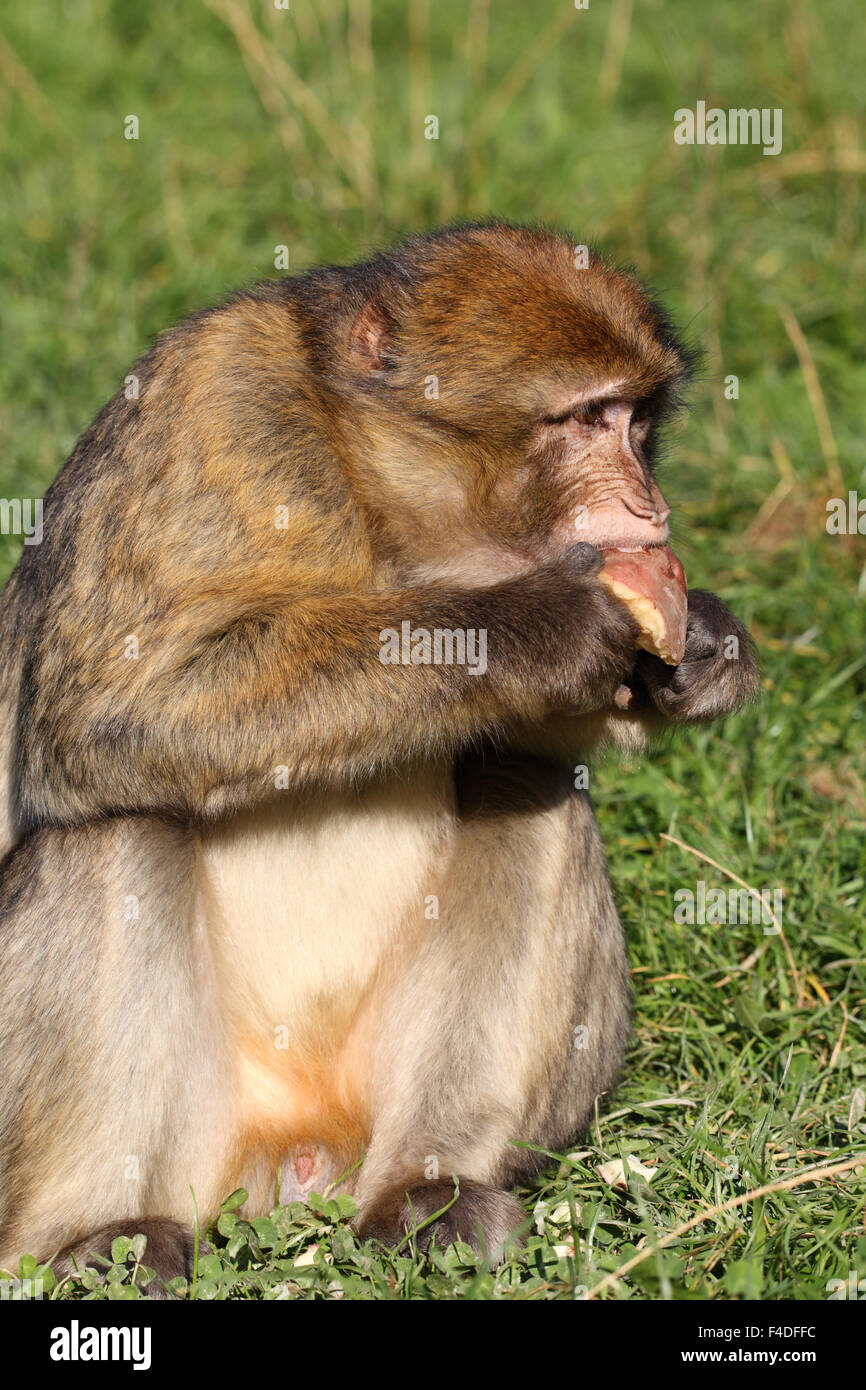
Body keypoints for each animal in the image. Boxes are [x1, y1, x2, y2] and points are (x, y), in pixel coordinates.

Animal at [0, 222, 758, 1292]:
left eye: (638, 421)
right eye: (586, 419)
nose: (648, 506)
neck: (379, 506)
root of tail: (296, 1155)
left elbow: (531, 738)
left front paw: (701, 652)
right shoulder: (211, 411)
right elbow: (110, 712)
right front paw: (542, 628)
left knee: (523, 786)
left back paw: (426, 1191)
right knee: (117, 826)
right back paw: (90, 1234)